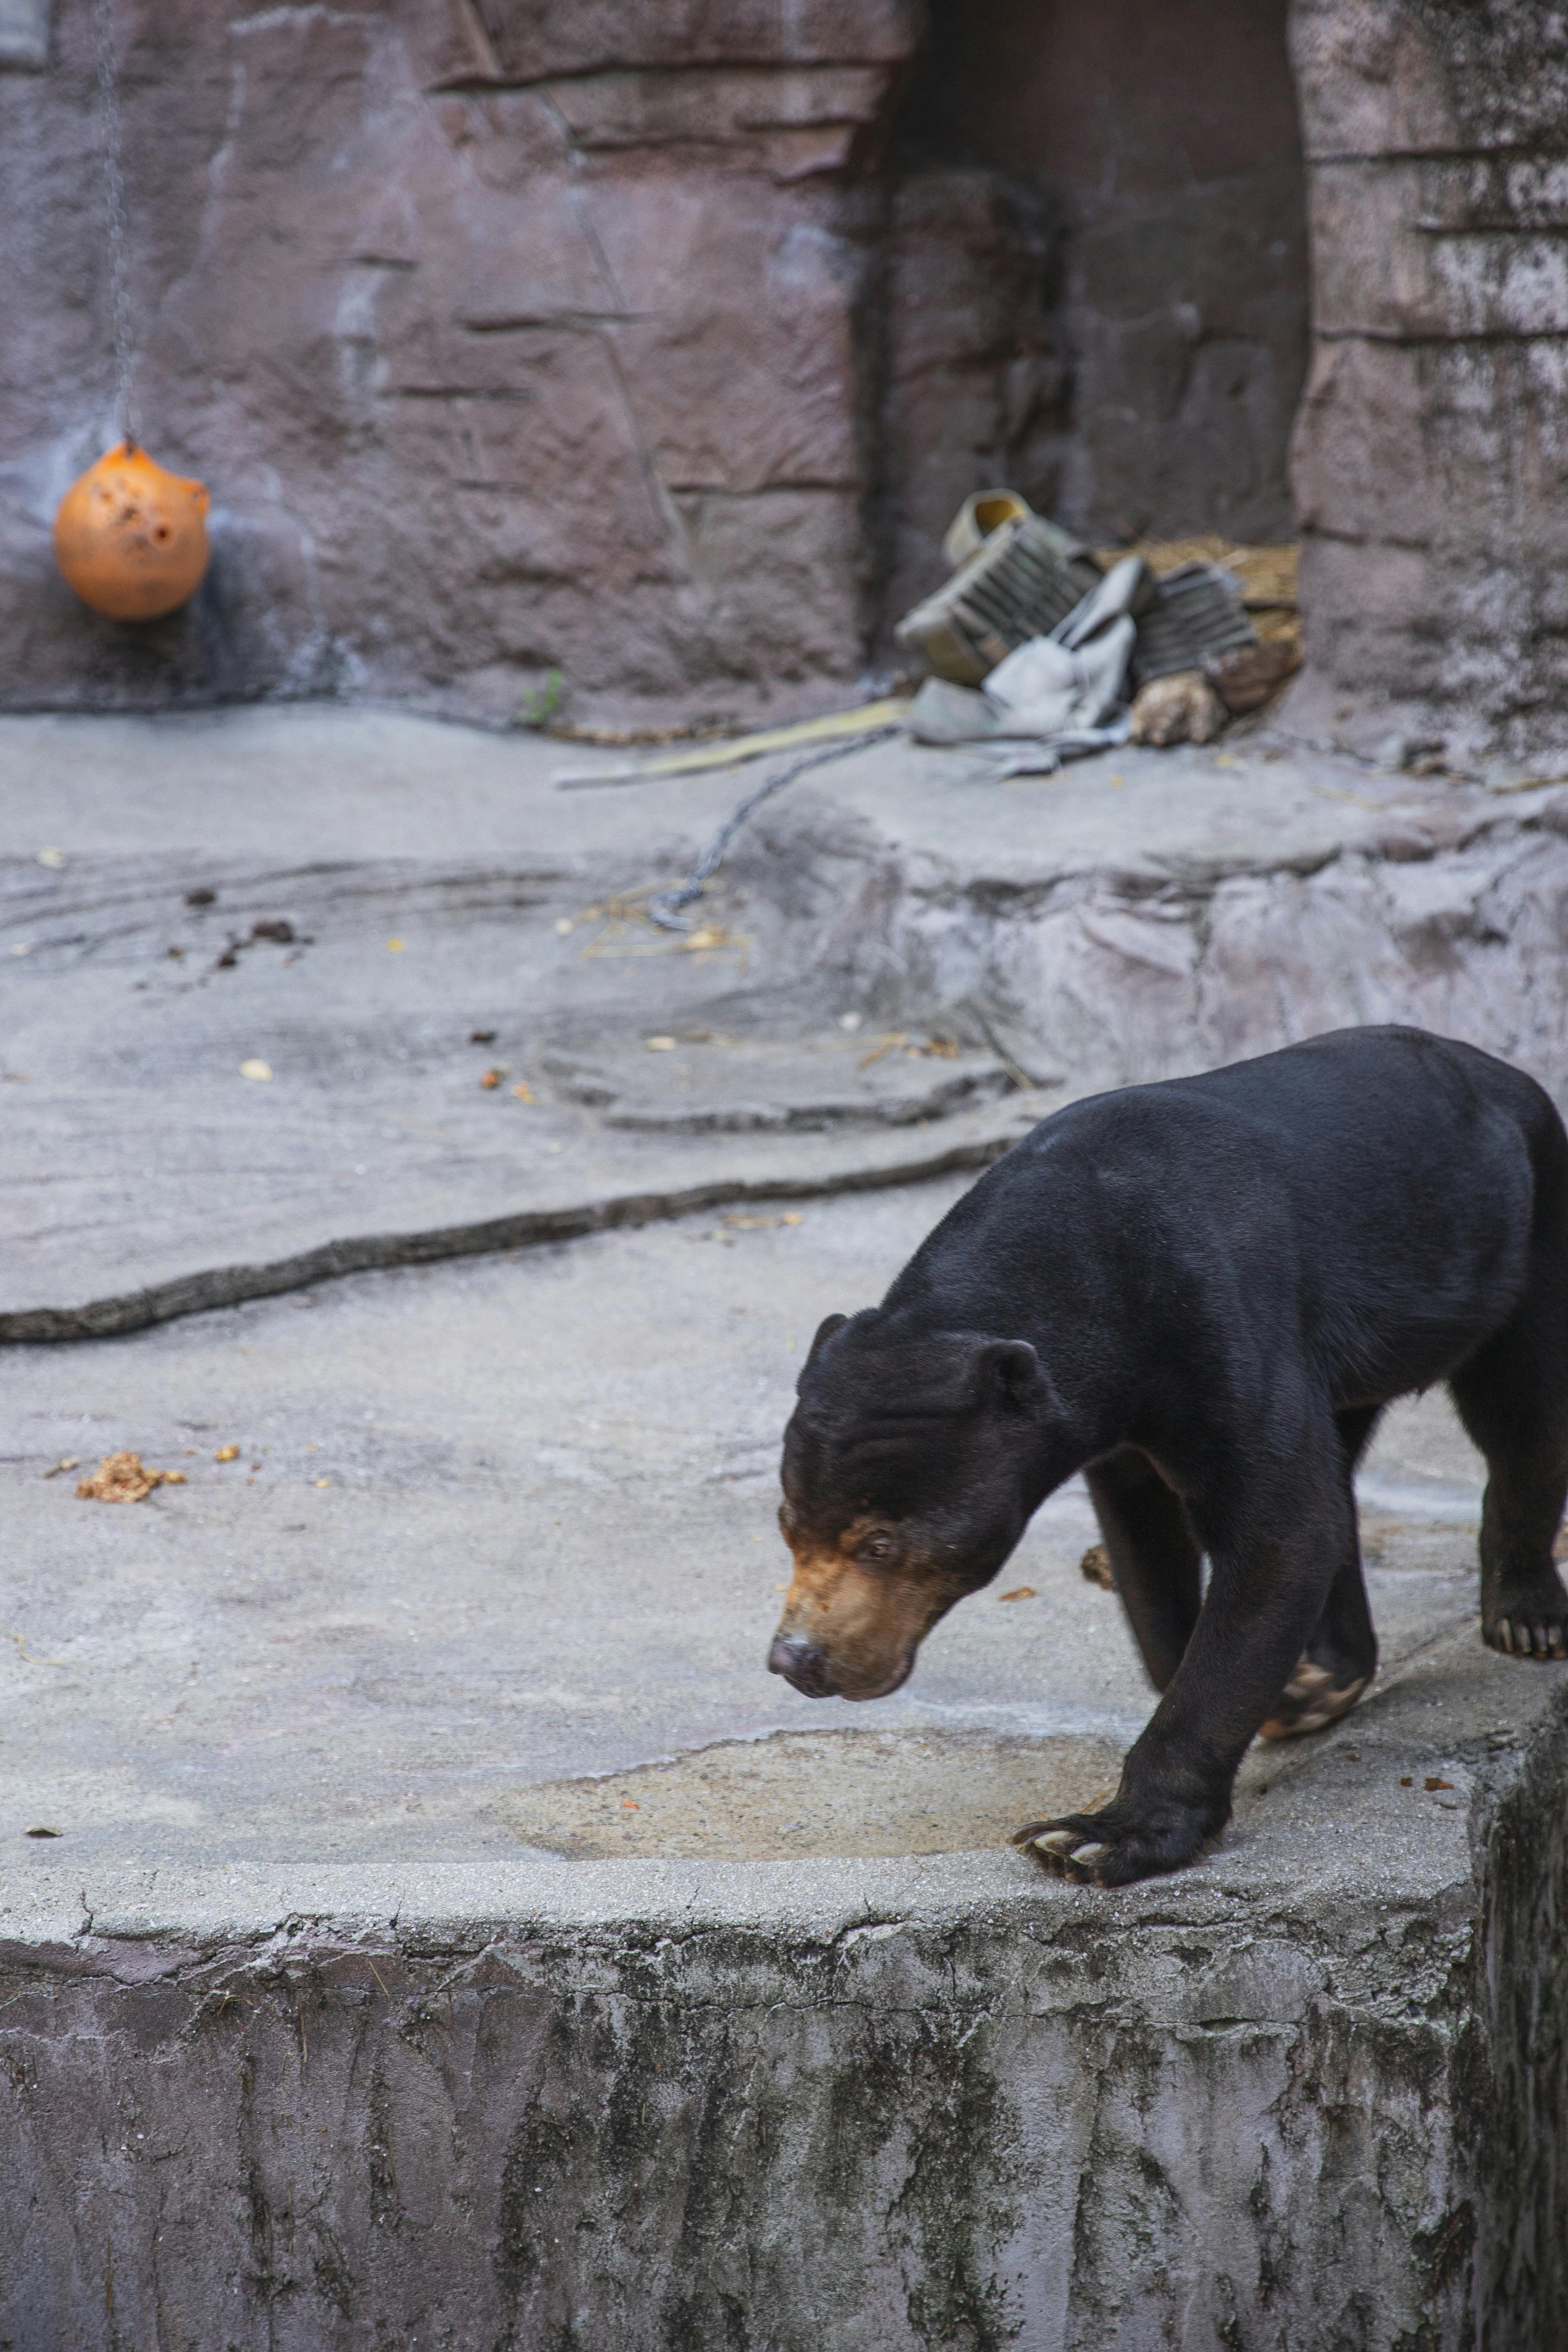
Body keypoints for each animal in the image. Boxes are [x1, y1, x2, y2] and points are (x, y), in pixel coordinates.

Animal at [767, 1026, 1568, 1885]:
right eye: (787, 1525)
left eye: (880, 1544)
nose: (796, 1660)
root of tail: (1494, 1068)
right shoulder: (1120, 1422)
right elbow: (1153, 1544)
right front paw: (1287, 1692)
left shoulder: (1218, 1318)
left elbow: (1281, 1530)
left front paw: (1092, 1837)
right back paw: (1332, 1669)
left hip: (1523, 1232)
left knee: (1523, 1410)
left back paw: (1525, 1620)